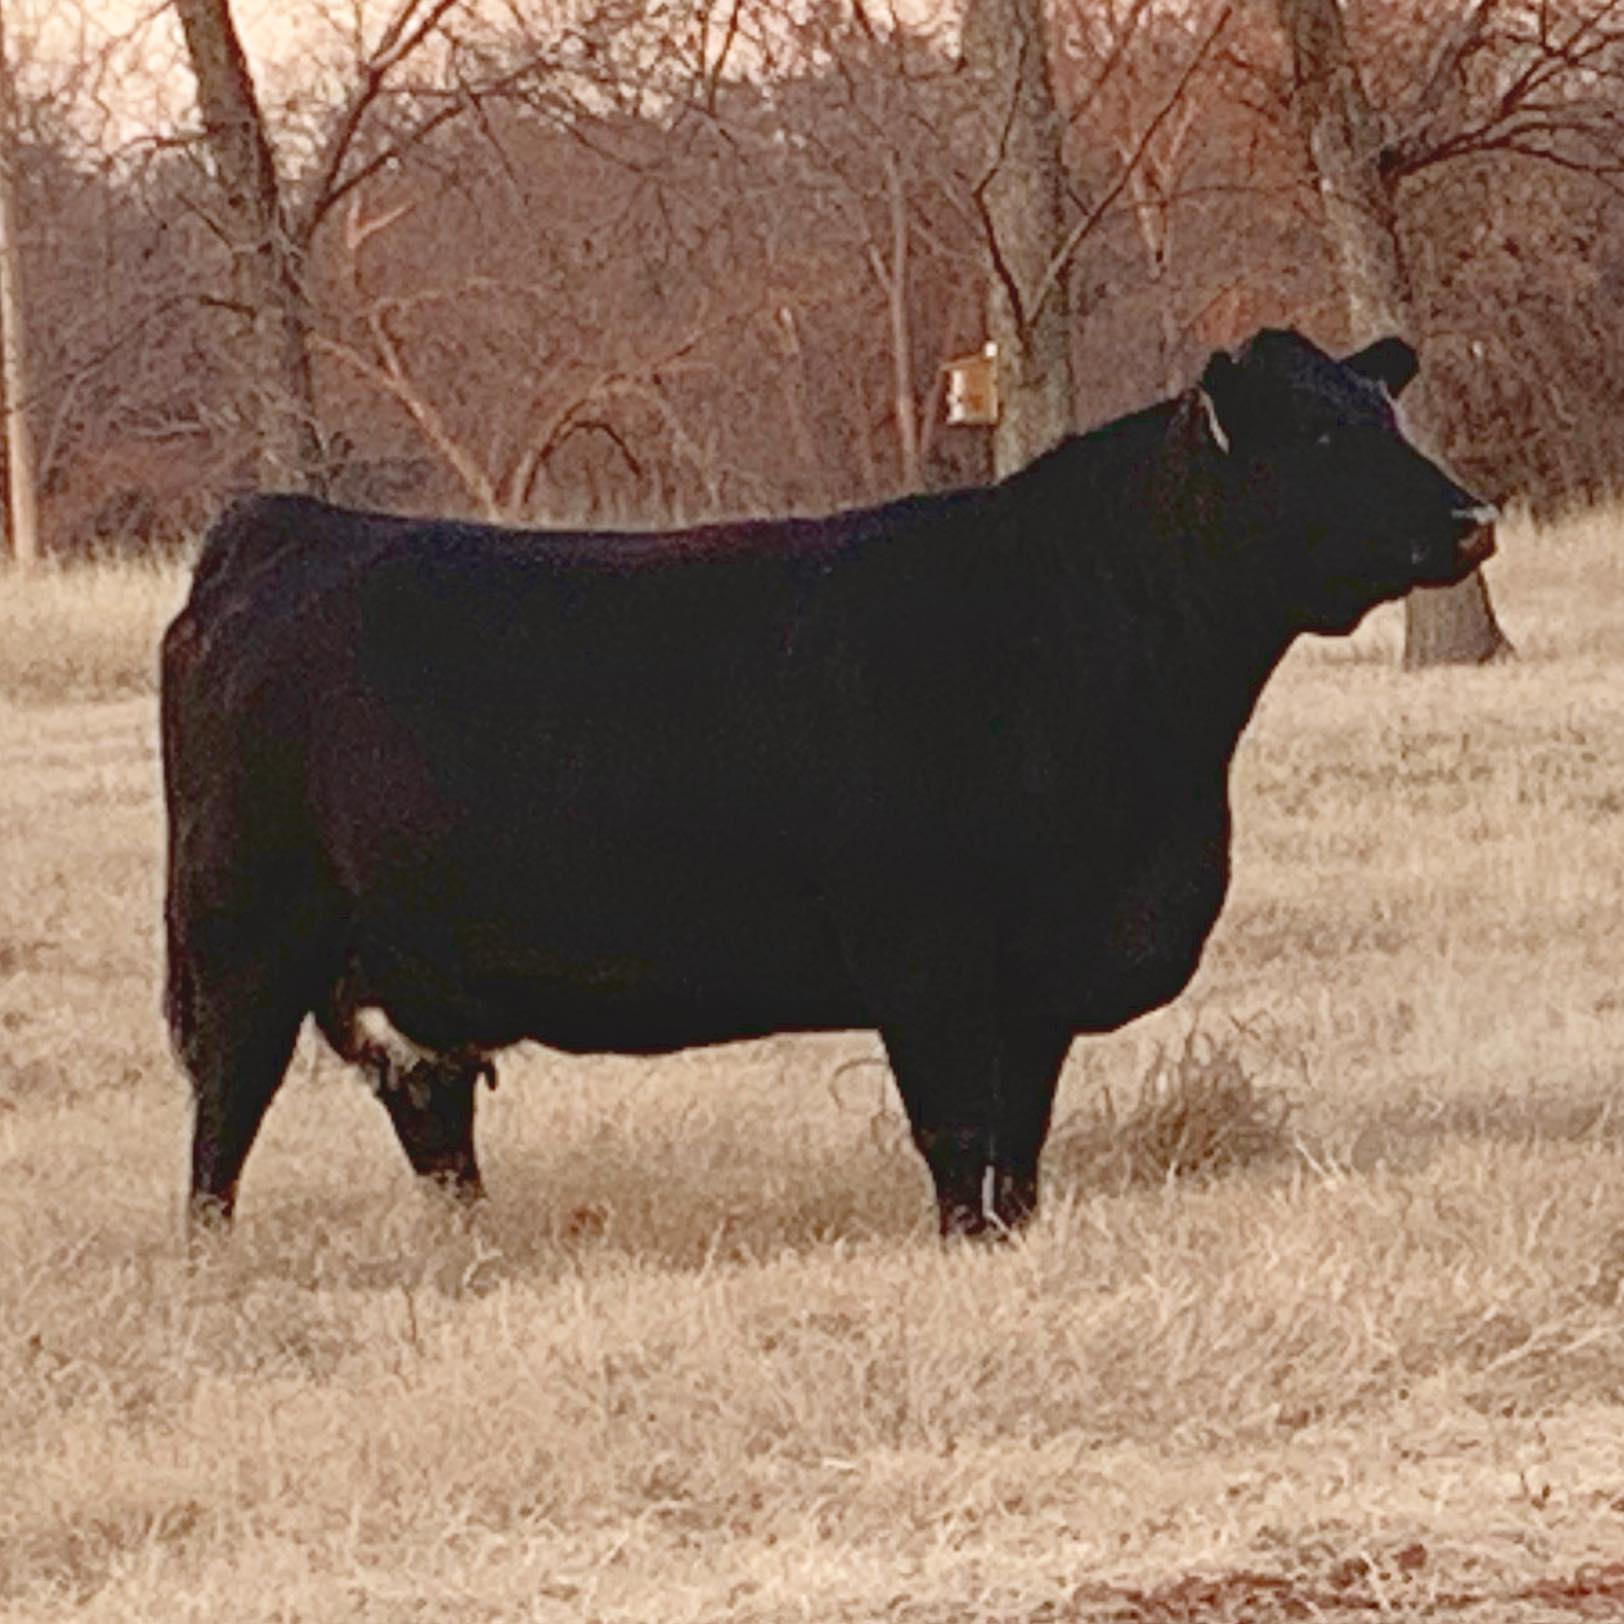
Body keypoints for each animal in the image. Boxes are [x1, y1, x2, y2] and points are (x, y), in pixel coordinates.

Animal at [162, 328, 1495, 1238]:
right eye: (1318, 436)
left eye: (1383, 414)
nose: (1471, 516)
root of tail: (288, 525)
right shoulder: (927, 955)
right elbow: (956, 1132)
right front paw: (964, 1247)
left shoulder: (1042, 974)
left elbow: (1024, 1139)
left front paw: (1014, 1235)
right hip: (246, 935)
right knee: (227, 1108)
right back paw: (212, 1257)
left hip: (393, 972)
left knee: (429, 1115)